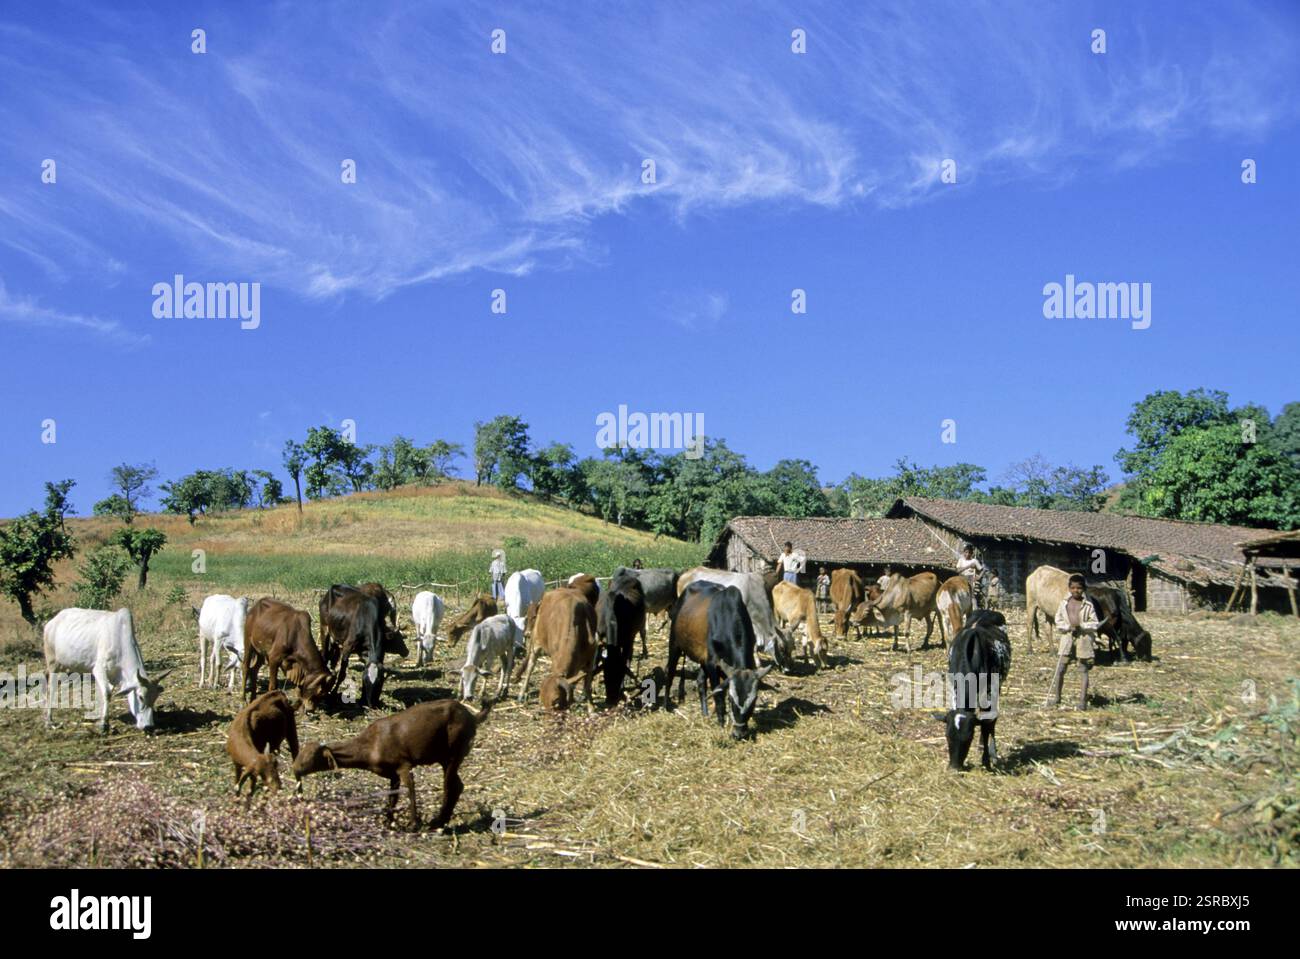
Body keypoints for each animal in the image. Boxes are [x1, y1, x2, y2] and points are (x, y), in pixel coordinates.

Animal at [666, 582, 772, 739]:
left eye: (753, 702)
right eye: (732, 700)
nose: (739, 734)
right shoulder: (712, 664)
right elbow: (718, 694)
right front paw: (721, 722)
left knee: (700, 681)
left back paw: (705, 714)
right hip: (675, 644)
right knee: (670, 672)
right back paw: (666, 706)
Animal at [944, 610, 1012, 771]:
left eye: (969, 737)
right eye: (948, 736)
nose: (954, 767)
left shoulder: (989, 693)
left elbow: (987, 725)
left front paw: (986, 760)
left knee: (991, 722)